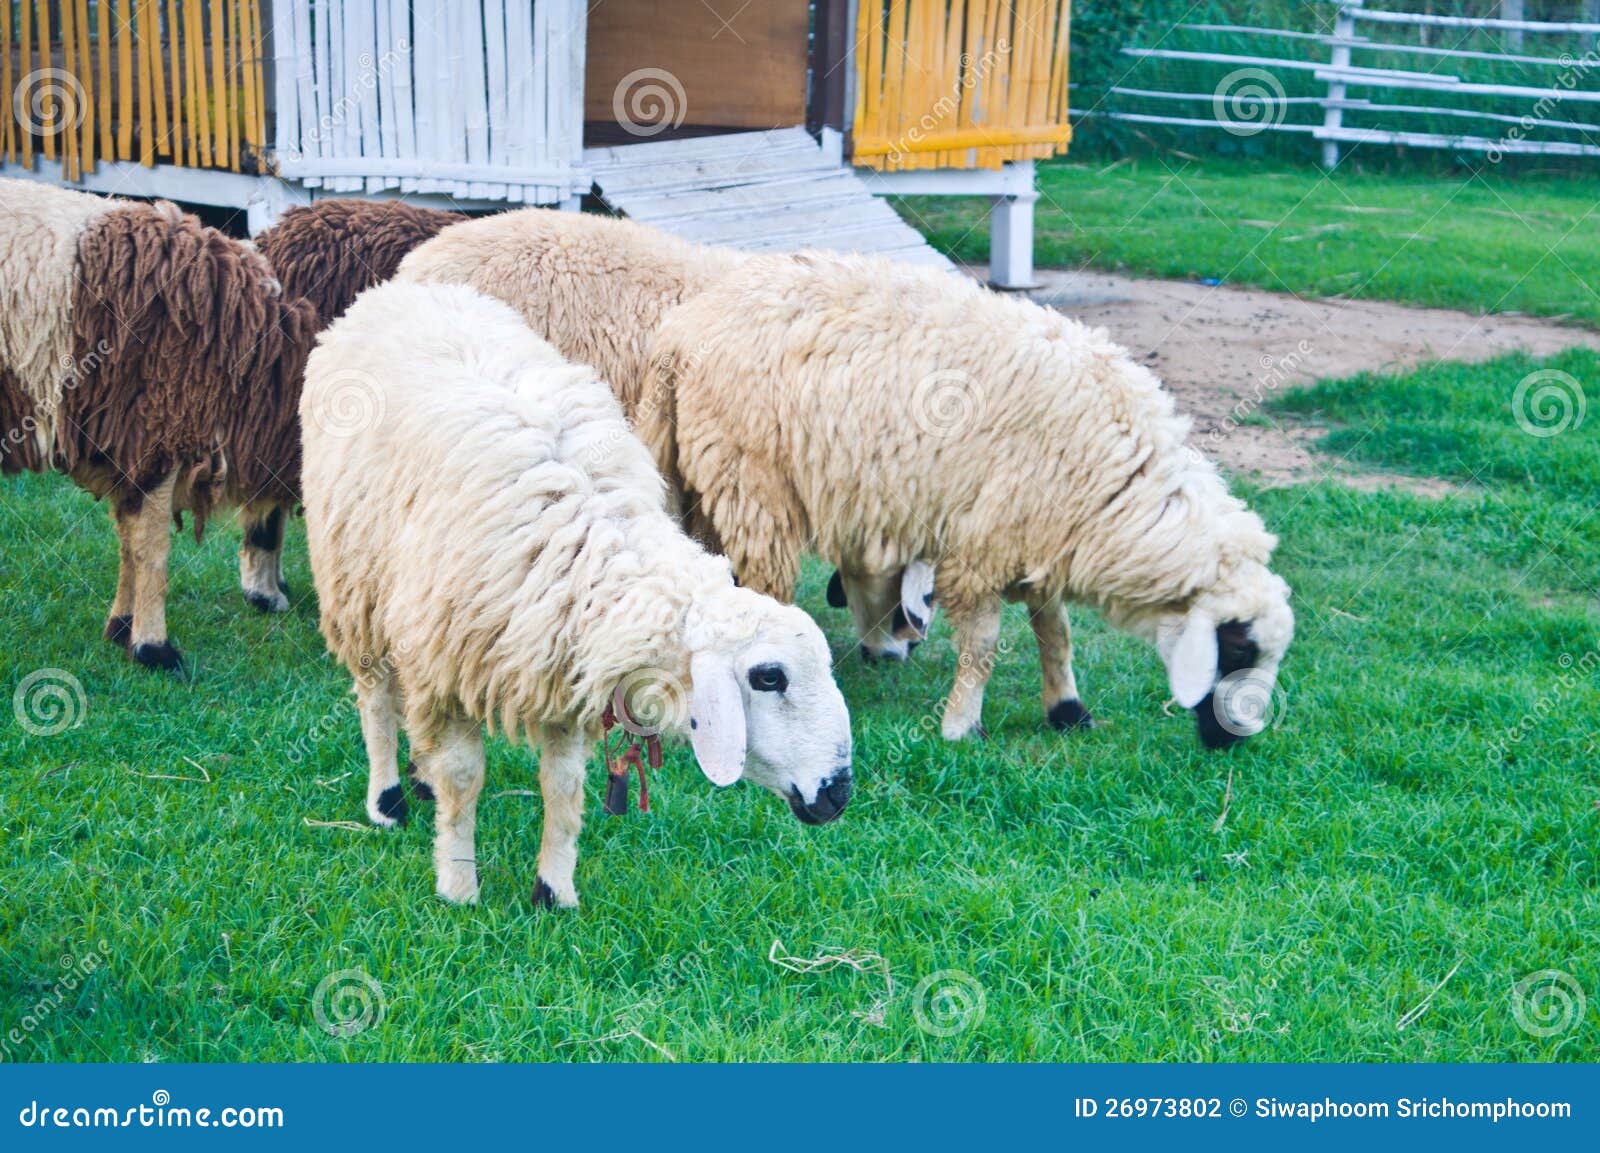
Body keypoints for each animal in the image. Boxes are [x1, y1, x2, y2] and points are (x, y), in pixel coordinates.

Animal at [0, 178, 317, 669]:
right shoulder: (156, 429)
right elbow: (152, 547)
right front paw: (155, 648)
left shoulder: (124, 444)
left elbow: (128, 538)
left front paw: (122, 629)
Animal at [300, 280, 855, 908]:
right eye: (768, 677)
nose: (839, 794)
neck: (589, 541)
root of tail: (394, 288)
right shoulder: (451, 665)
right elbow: (465, 779)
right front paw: (460, 885)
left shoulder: (563, 669)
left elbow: (563, 786)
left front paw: (554, 890)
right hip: (353, 579)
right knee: (374, 692)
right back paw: (387, 798)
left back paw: (419, 779)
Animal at [637, 251, 1295, 746]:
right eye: (1238, 647)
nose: (1231, 741)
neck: (1119, 484)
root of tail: (684, 328)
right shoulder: (983, 547)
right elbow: (982, 646)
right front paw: (962, 726)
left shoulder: (1040, 538)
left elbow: (1055, 631)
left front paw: (1067, 709)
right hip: (753, 484)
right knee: (764, 589)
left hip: (701, 481)